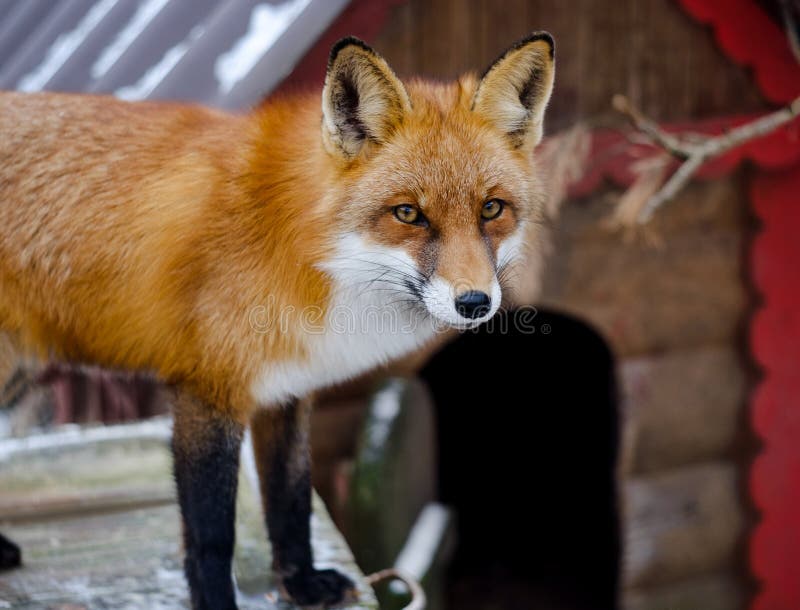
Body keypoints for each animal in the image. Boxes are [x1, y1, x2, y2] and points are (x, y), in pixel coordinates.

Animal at [0, 33, 555, 608]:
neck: (305, 250)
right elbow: (212, 535)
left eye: (491, 209)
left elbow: (291, 503)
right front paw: (217, 602)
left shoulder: (287, 389)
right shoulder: (207, 390)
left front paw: (303, 585)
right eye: (408, 214)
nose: (475, 302)